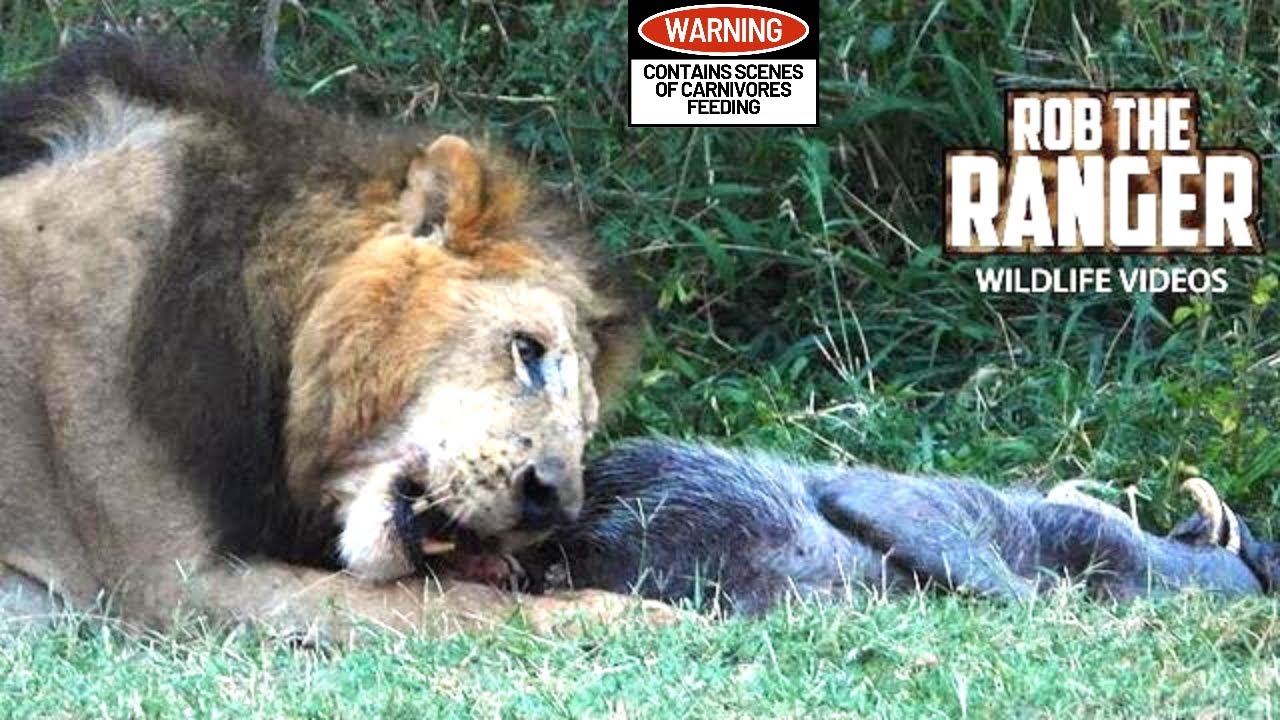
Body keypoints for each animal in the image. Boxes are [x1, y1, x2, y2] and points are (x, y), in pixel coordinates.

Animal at [0, 36, 664, 637]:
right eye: (527, 351)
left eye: (587, 426)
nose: (553, 503)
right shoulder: (173, 585)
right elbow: (454, 604)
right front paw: (641, 616)